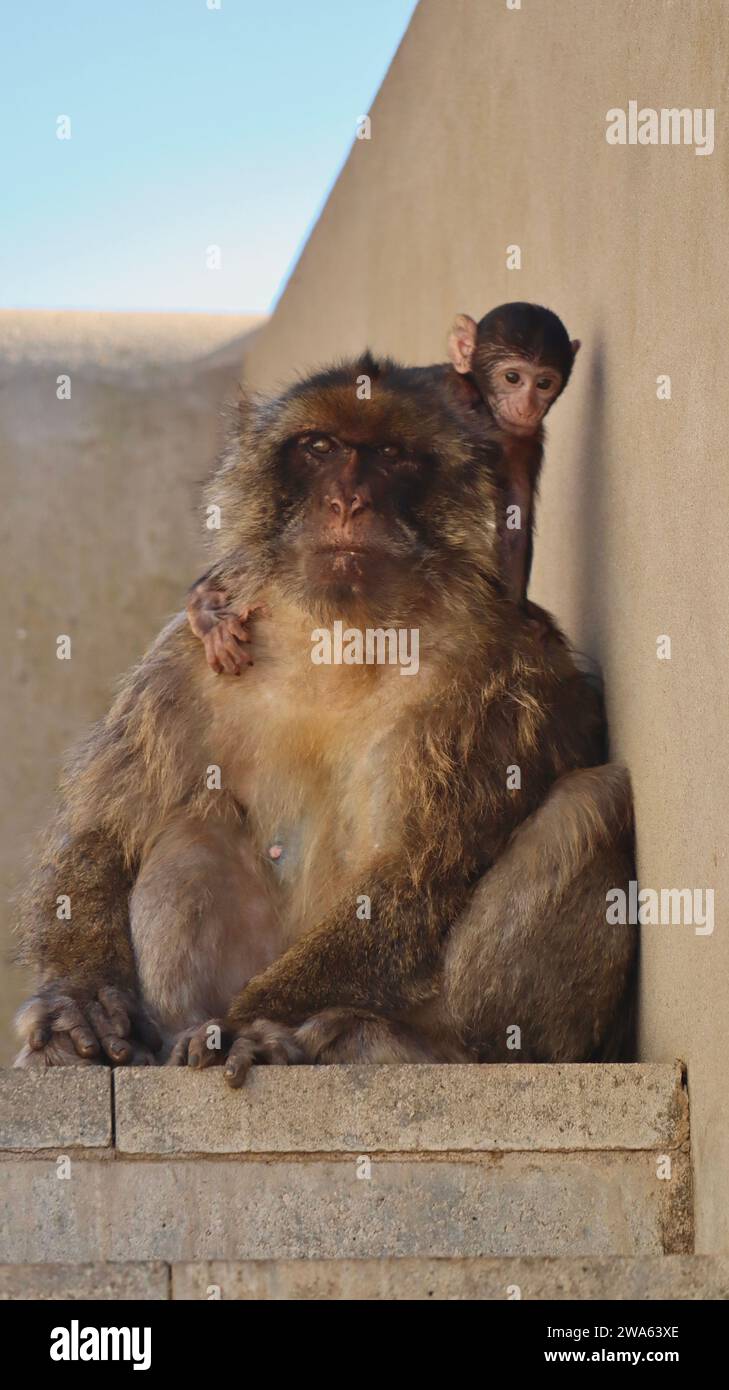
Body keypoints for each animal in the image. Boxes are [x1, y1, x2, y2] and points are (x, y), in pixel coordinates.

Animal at [14, 354, 635, 1085]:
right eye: (319, 447)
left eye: (392, 456)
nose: (347, 503)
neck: (342, 636)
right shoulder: (186, 659)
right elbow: (109, 829)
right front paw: (77, 1003)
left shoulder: (492, 679)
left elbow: (418, 874)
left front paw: (252, 1024)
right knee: (192, 825)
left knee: (594, 803)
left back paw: (422, 1047)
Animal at [185, 303, 579, 676]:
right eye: (512, 377)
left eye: (544, 383)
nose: (527, 405)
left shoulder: (521, 439)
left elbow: (514, 515)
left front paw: (522, 619)